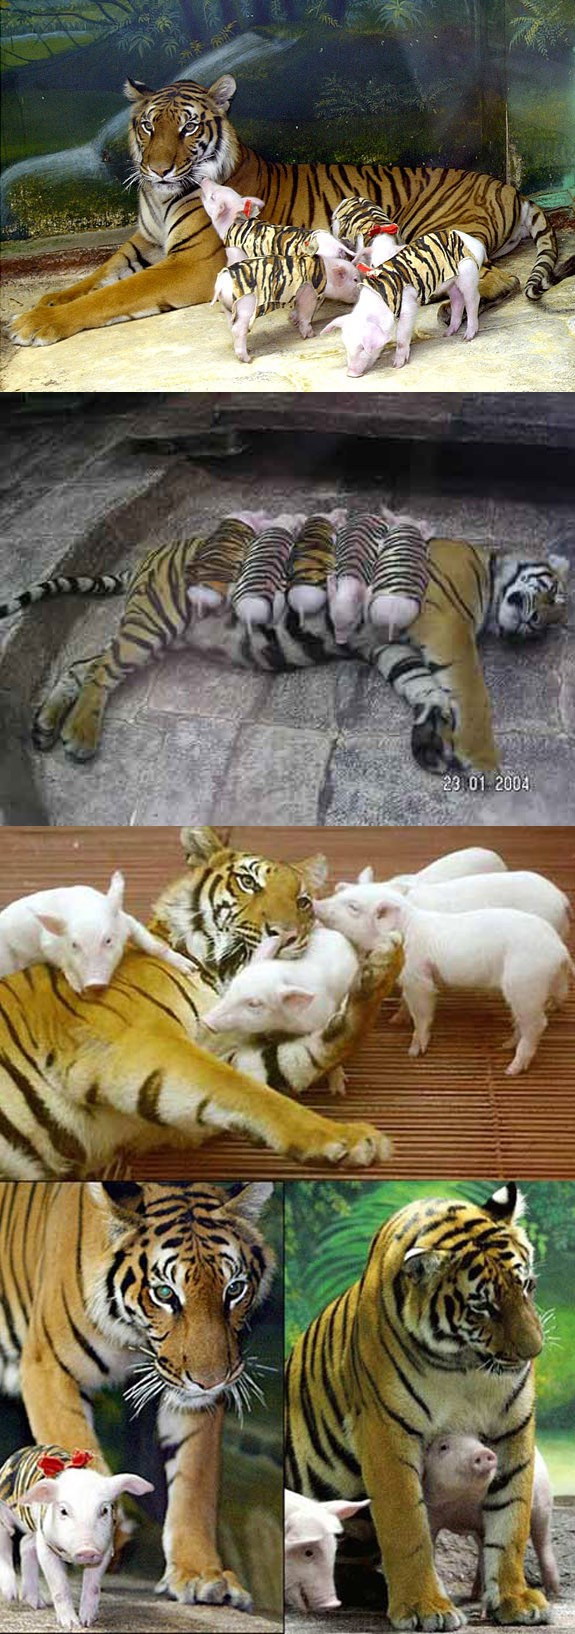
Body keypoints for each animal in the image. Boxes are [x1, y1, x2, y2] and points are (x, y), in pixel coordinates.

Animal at [0, 826, 399, 1180]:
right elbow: (245, 1090)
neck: (218, 980)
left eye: (302, 901)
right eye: (249, 883)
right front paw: (344, 1138)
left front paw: (380, 969)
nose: (287, 935)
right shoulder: (139, 1041)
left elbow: (293, 1062)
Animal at [0, 1177, 275, 1609]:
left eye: (235, 1289)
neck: (133, 1337)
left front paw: (201, 1574)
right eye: (165, 1293)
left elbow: (194, 1486)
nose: (212, 1381)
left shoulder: (188, 1397)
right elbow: (78, 1450)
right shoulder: (49, 1367)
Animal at [9, 73, 570, 349]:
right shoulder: (143, 244)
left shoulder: (191, 264)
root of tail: (507, 186)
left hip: (430, 232)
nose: (158, 169)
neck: (159, 197)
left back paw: (446, 310)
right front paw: (44, 302)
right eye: (149, 126)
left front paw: (36, 324)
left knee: (495, 278)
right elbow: (93, 278)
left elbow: (113, 295)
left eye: (188, 127)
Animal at [17, 532, 568, 774]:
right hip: (157, 619)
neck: (490, 574)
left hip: (153, 633)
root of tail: (154, 554)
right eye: (555, 596)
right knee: (103, 671)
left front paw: (430, 743)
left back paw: (44, 726)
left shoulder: (390, 646)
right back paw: (79, 736)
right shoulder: (446, 627)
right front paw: (482, 759)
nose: (537, 625)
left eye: (553, 620)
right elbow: (471, 690)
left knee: (84, 664)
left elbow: (424, 688)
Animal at [285, 1182, 549, 1630]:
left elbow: (511, 1518)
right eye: (483, 1306)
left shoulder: (513, 1426)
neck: (465, 1367)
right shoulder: (385, 1431)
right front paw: (424, 1608)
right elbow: (407, 1525)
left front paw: (515, 1599)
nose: (534, 1352)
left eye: (527, 1285)